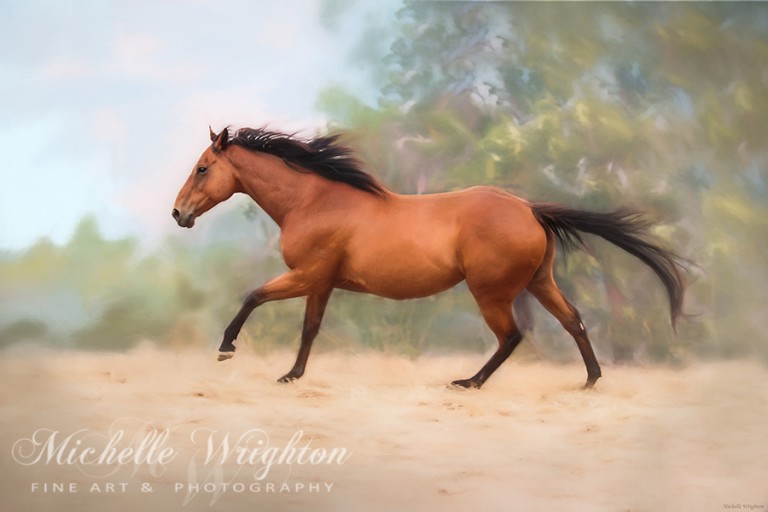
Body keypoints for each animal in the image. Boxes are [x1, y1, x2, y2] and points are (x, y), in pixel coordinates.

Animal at [172, 126, 687, 389]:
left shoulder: (306, 274)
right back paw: (591, 380)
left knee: (512, 336)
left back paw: (469, 382)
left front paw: (226, 347)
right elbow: (309, 329)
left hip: (491, 292)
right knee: (573, 320)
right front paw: (292, 375)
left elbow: (253, 295)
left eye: (203, 168)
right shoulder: (320, 282)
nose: (178, 214)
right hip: (540, 282)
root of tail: (529, 208)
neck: (316, 200)